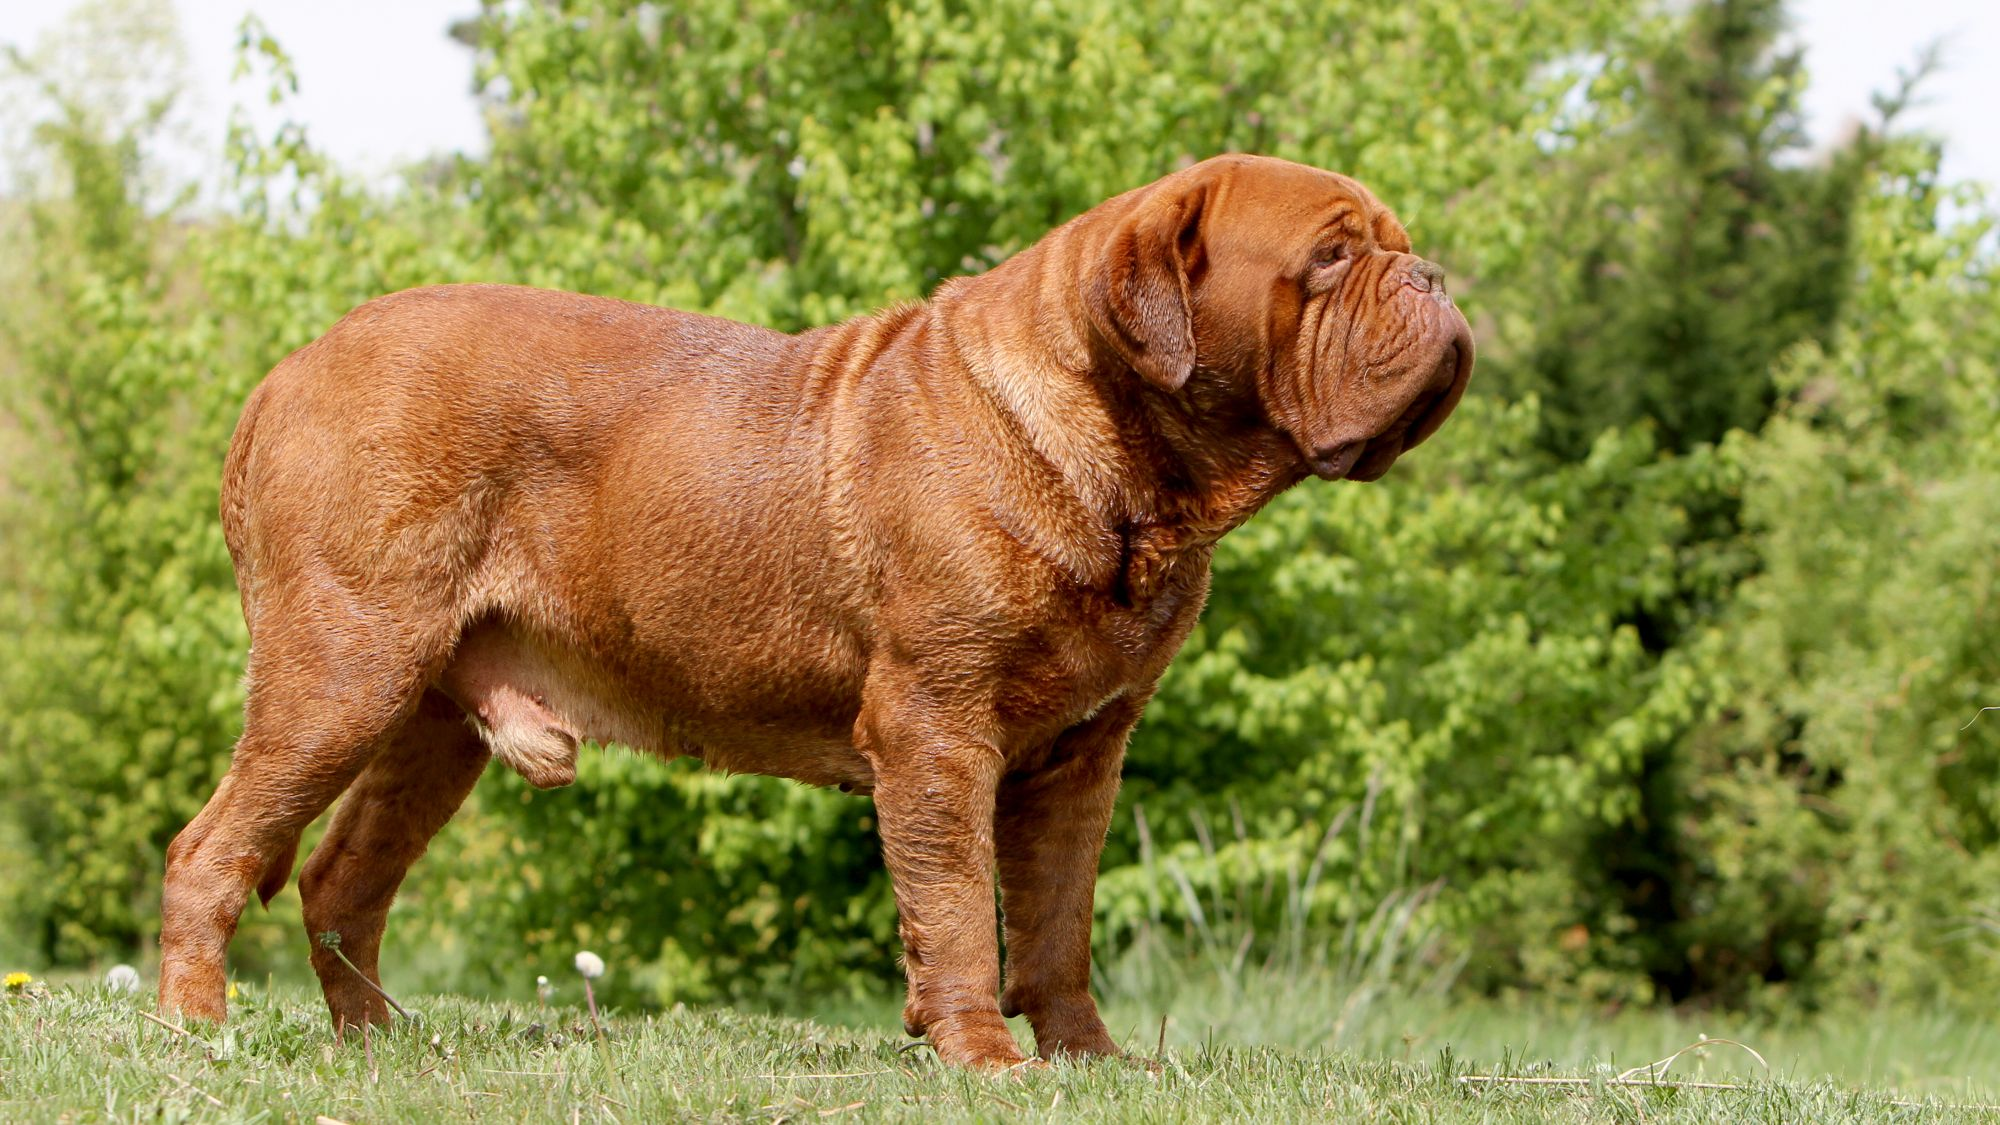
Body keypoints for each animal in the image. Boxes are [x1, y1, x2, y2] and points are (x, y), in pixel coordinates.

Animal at [156, 153, 1472, 1064]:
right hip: (344, 668)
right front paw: (984, 1060)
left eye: (1394, 249)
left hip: (427, 724)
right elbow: (958, 905)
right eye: (1330, 260)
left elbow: (1056, 922)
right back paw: (199, 1031)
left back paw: (381, 1043)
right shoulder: (936, 724)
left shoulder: (1083, 754)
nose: (1435, 276)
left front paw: (1089, 1062)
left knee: (341, 880)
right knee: (209, 849)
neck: (1122, 464)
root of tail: (289, 370)